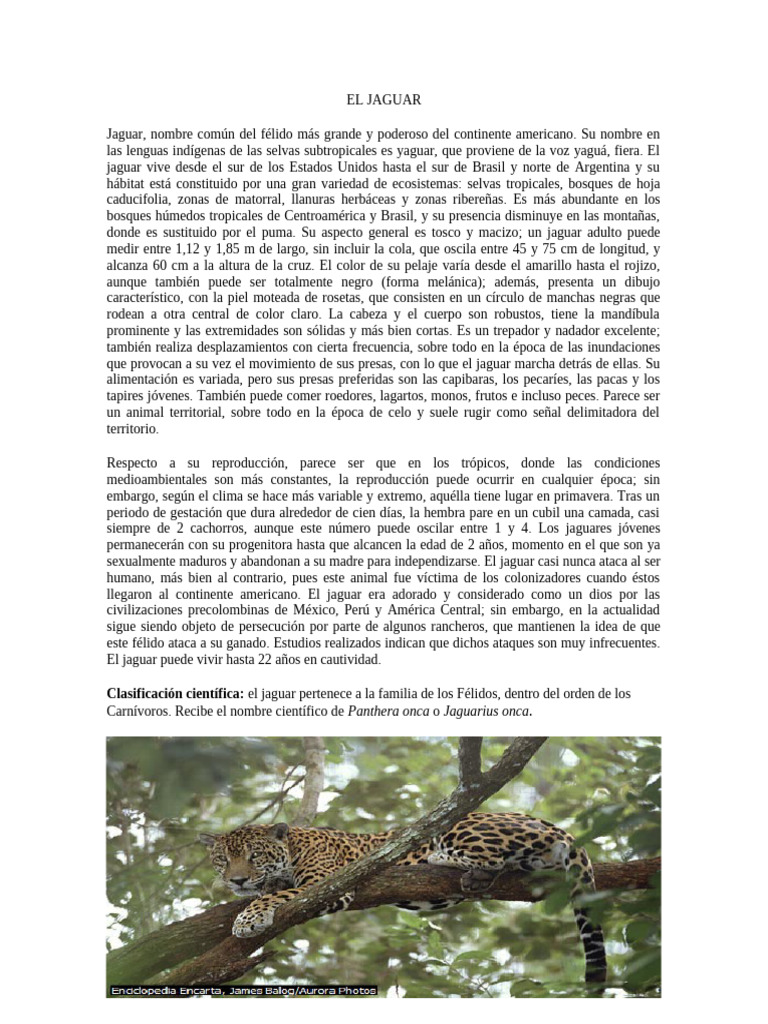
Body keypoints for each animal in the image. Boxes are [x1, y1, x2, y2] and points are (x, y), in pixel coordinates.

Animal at [200, 811, 607, 987]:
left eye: (254, 855)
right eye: (223, 860)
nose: (236, 880)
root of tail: (555, 826)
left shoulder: (326, 883)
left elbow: (275, 896)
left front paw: (247, 919)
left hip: (463, 827)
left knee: (488, 855)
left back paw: (438, 856)